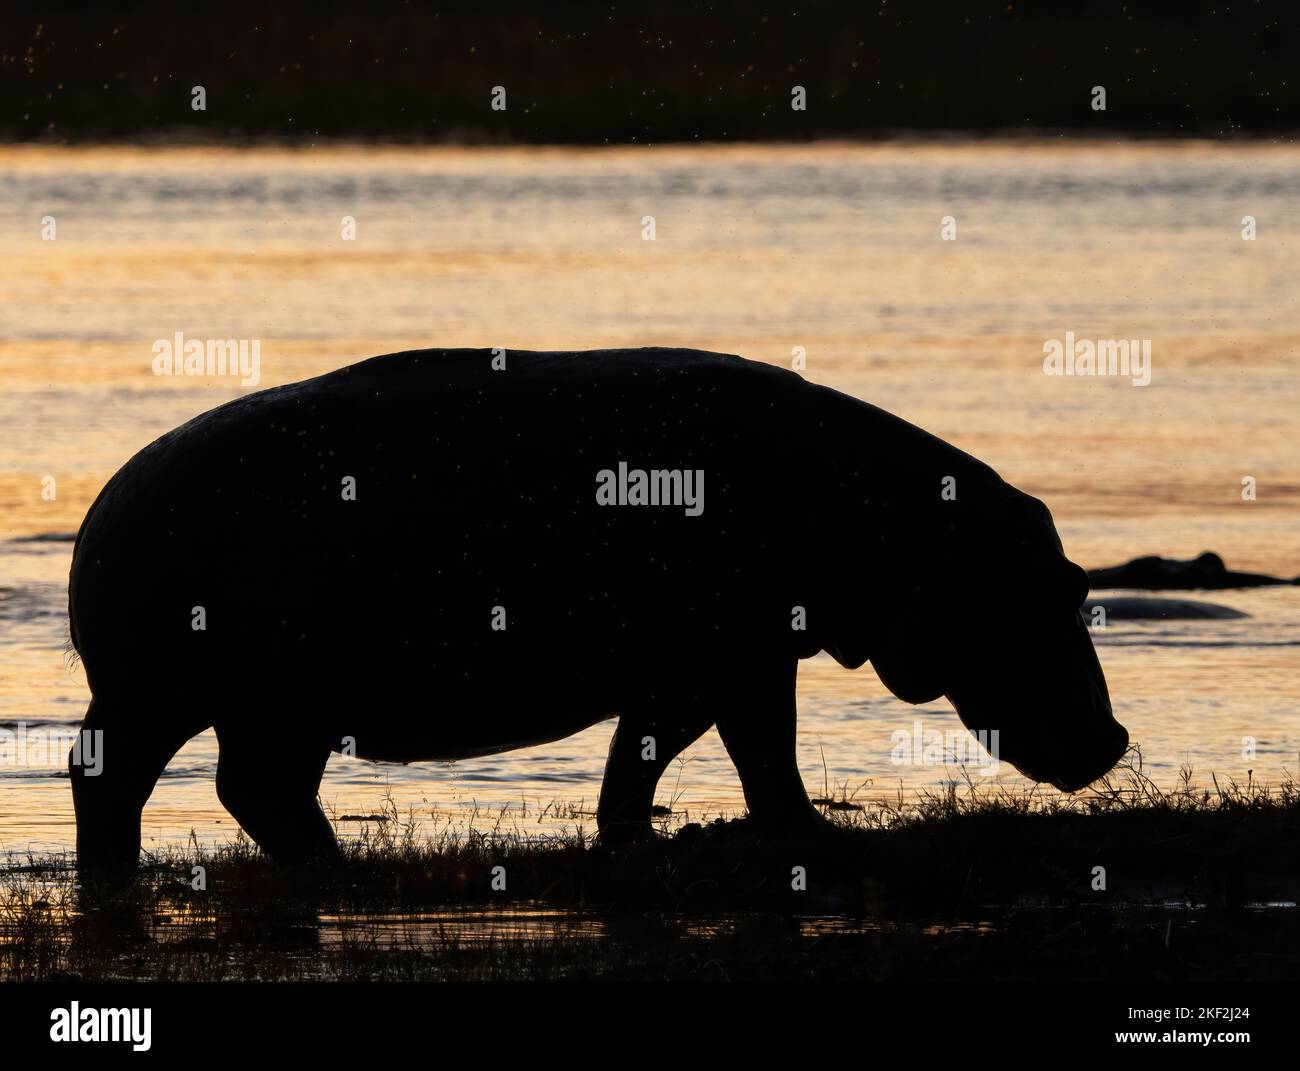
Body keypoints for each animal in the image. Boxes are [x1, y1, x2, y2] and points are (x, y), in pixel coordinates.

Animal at [68, 348, 1128, 875]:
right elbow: (761, 746)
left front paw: (633, 835)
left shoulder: (701, 660)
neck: (894, 515)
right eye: (1061, 588)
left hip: (211, 699)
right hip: (227, 693)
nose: (1115, 737)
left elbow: (653, 749)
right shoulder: (738, 650)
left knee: (171, 783)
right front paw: (817, 838)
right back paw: (326, 866)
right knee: (199, 784)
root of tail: (107, 504)